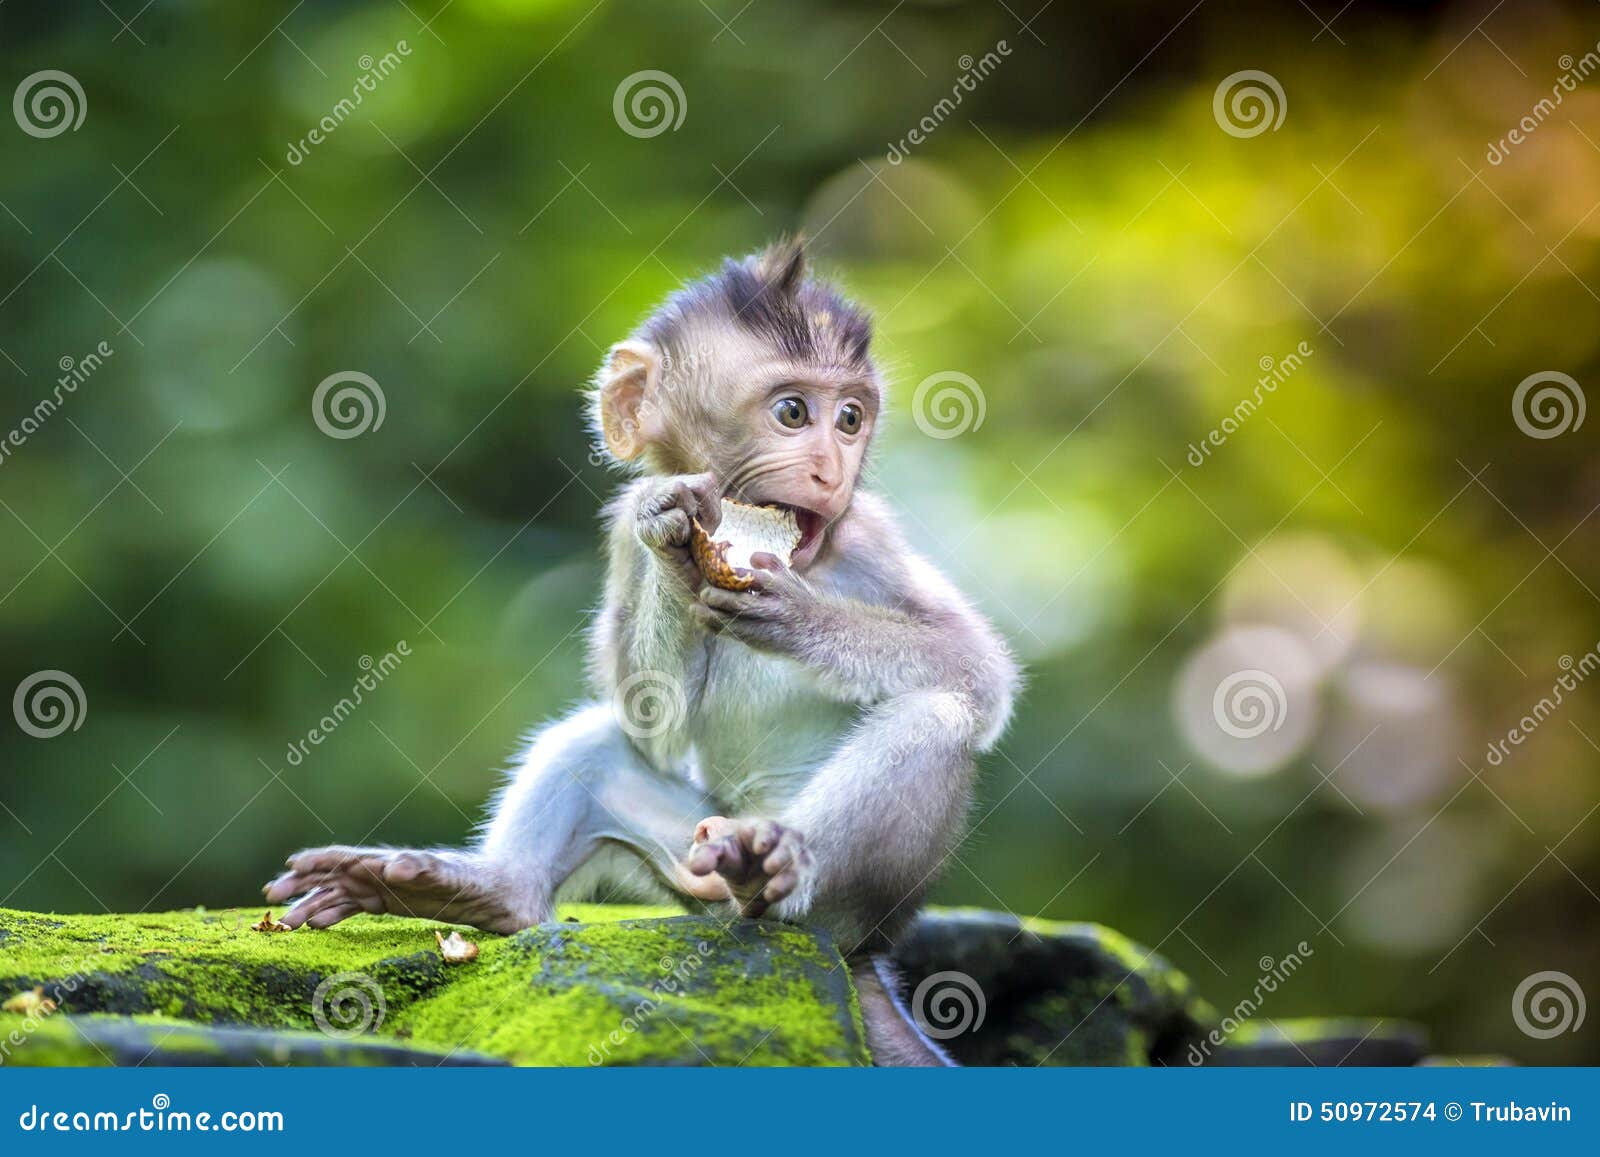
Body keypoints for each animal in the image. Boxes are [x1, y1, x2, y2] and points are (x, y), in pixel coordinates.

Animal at [264, 240, 1020, 1066]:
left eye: (850, 418)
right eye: (793, 412)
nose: (831, 468)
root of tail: (859, 957)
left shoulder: (869, 537)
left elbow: (976, 669)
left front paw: (796, 615)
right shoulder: (621, 523)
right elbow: (648, 716)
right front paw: (674, 541)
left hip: (842, 902)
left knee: (935, 717)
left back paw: (778, 855)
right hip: (689, 862)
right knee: (594, 744)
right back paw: (486, 890)